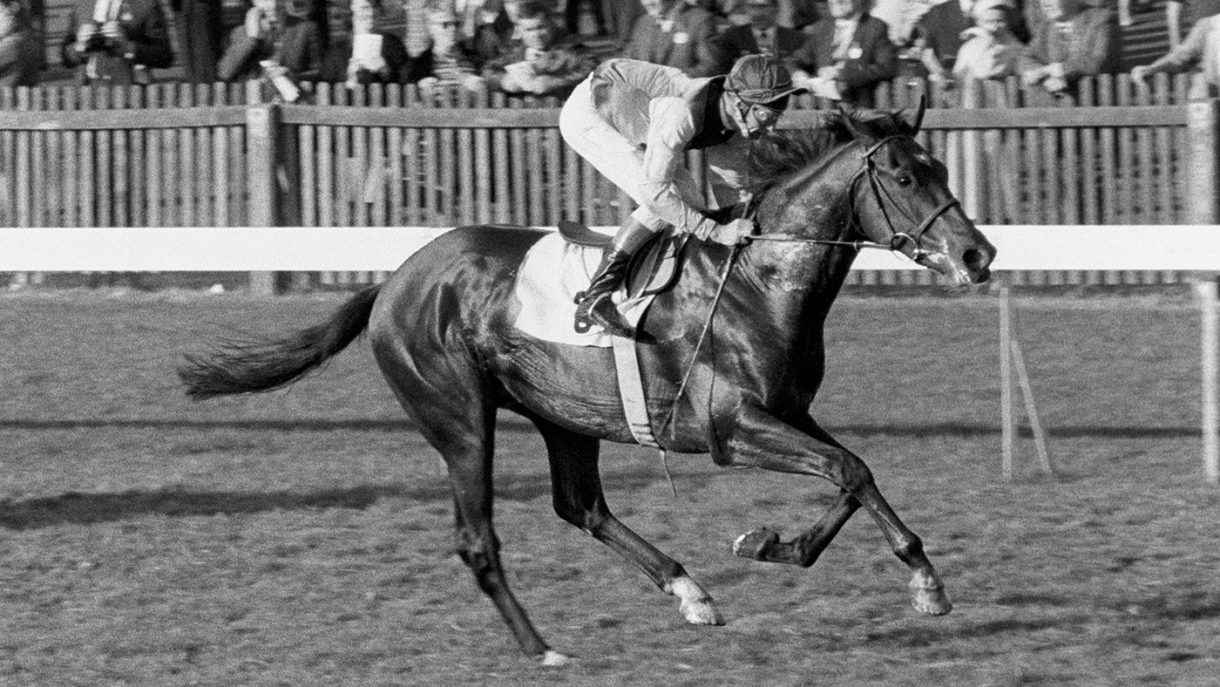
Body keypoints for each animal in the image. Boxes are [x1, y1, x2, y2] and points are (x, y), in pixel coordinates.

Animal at [178, 100, 996, 665]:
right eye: (903, 176)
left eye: (940, 170)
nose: (978, 254)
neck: (759, 278)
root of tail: (393, 283)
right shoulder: (732, 428)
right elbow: (850, 469)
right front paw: (921, 582)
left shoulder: (788, 411)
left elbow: (855, 472)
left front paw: (777, 546)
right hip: (459, 418)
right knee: (479, 538)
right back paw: (542, 646)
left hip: (564, 416)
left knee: (582, 507)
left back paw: (690, 592)